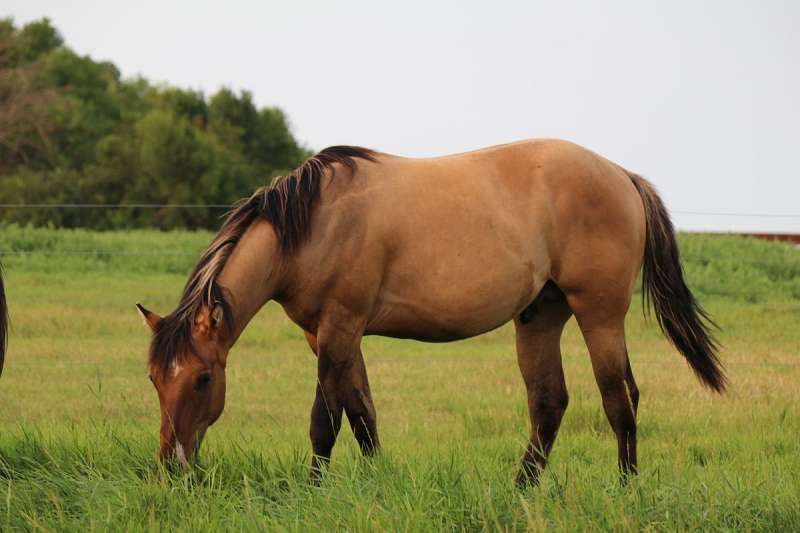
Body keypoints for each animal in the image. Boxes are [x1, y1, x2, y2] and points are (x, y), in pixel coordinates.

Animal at [136, 139, 725, 486]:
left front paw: (315, 489)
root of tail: (622, 175)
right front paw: (376, 483)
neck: (313, 223)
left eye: (204, 377)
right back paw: (521, 490)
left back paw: (625, 488)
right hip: (541, 316)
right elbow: (362, 411)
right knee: (550, 402)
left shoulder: (339, 327)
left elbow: (325, 420)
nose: (172, 466)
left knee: (618, 399)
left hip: (598, 313)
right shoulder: (330, 335)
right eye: (154, 379)